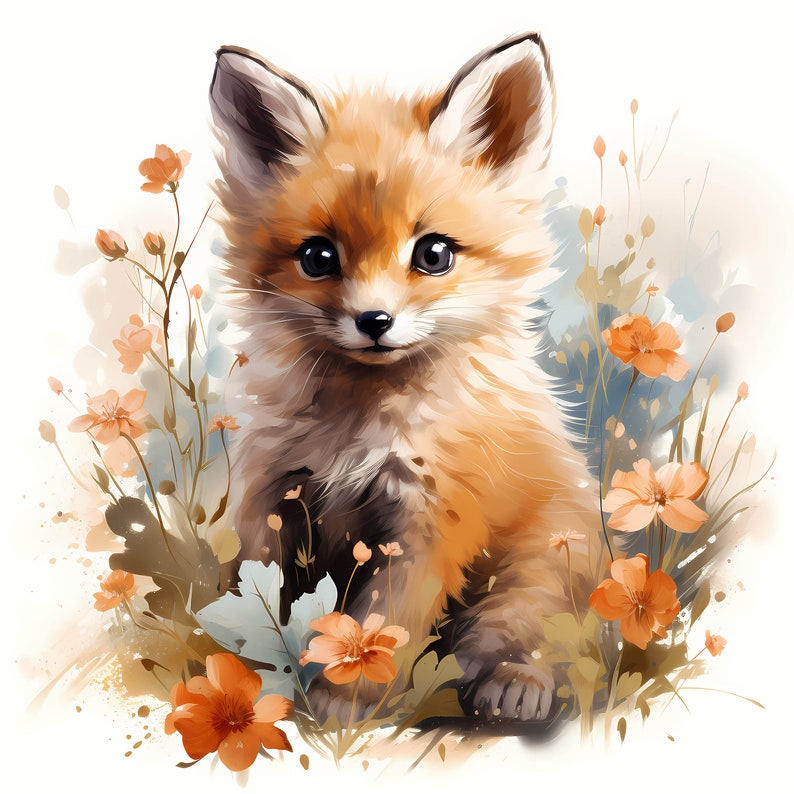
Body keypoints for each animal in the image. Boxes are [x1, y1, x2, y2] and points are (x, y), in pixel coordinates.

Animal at [208, 32, 598, 725]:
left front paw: (345, 702)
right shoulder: (273, 500)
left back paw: (514, 681)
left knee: (545, 639)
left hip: (546, 560)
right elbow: (260, 603)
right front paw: (250, 679)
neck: (357, 429)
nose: (375, 321)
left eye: (433, 254)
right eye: (318, 257)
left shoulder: (430, 519)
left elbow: (380, 628)